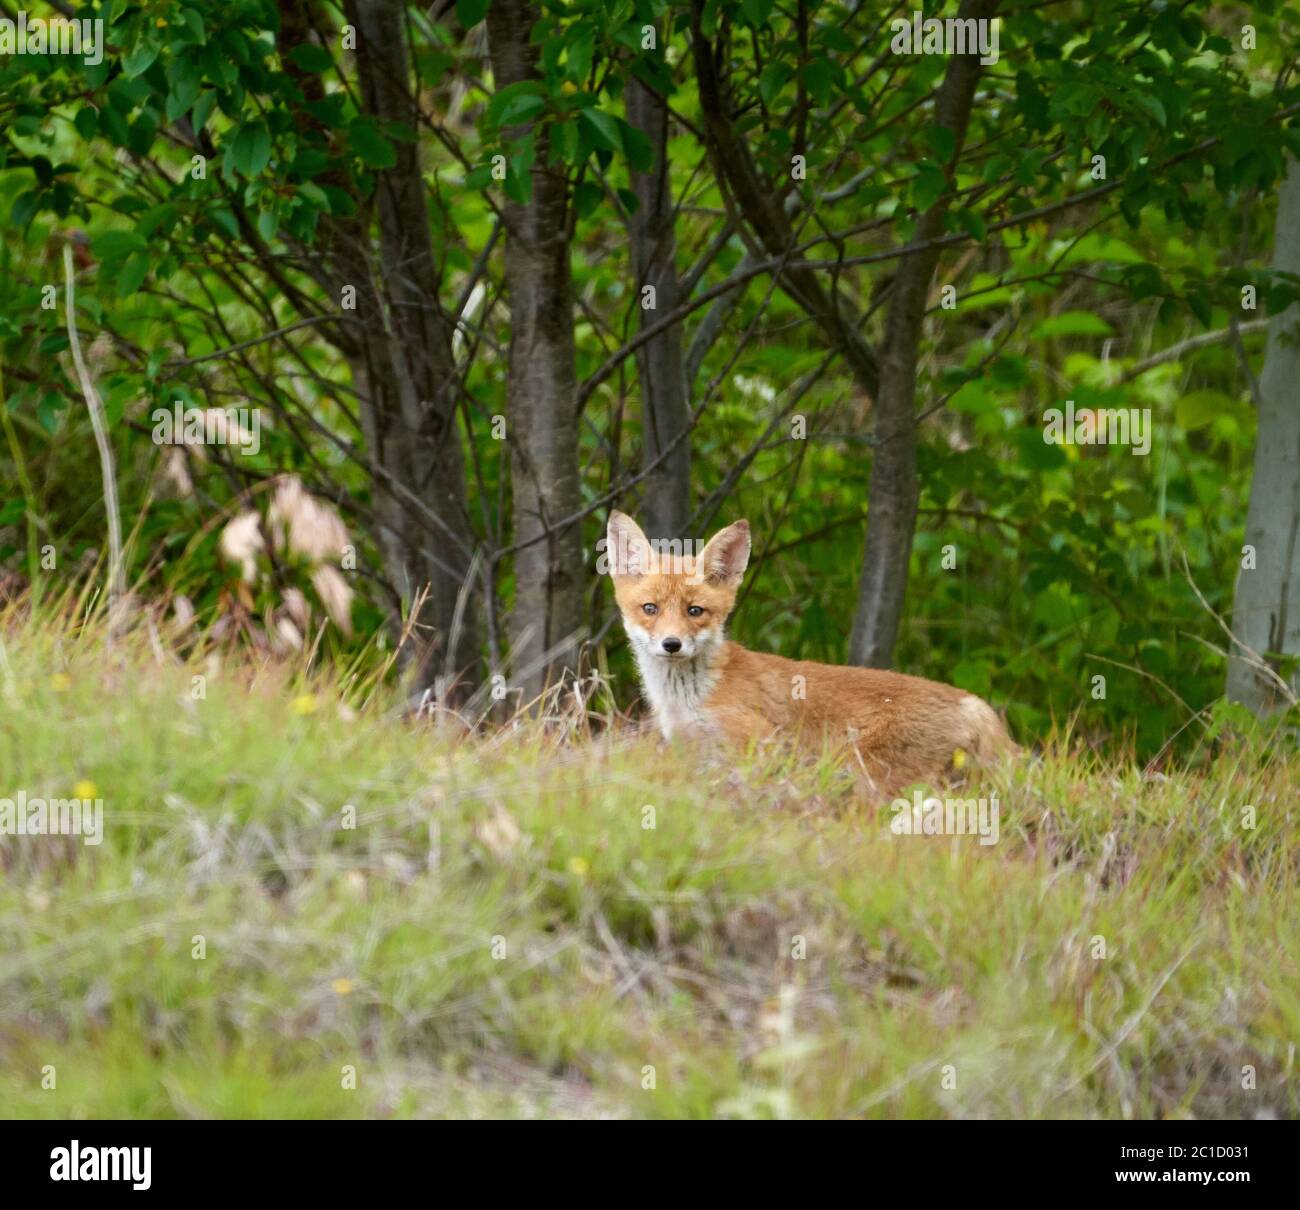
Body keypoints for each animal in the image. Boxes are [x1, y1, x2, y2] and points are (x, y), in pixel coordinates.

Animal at [606, 510, 1017, 794]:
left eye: (695, 611)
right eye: (650, 609)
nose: (671, 644)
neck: (687, 697)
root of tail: (970, 701)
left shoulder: (764, 744)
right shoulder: (695, 754)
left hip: (869, 777)